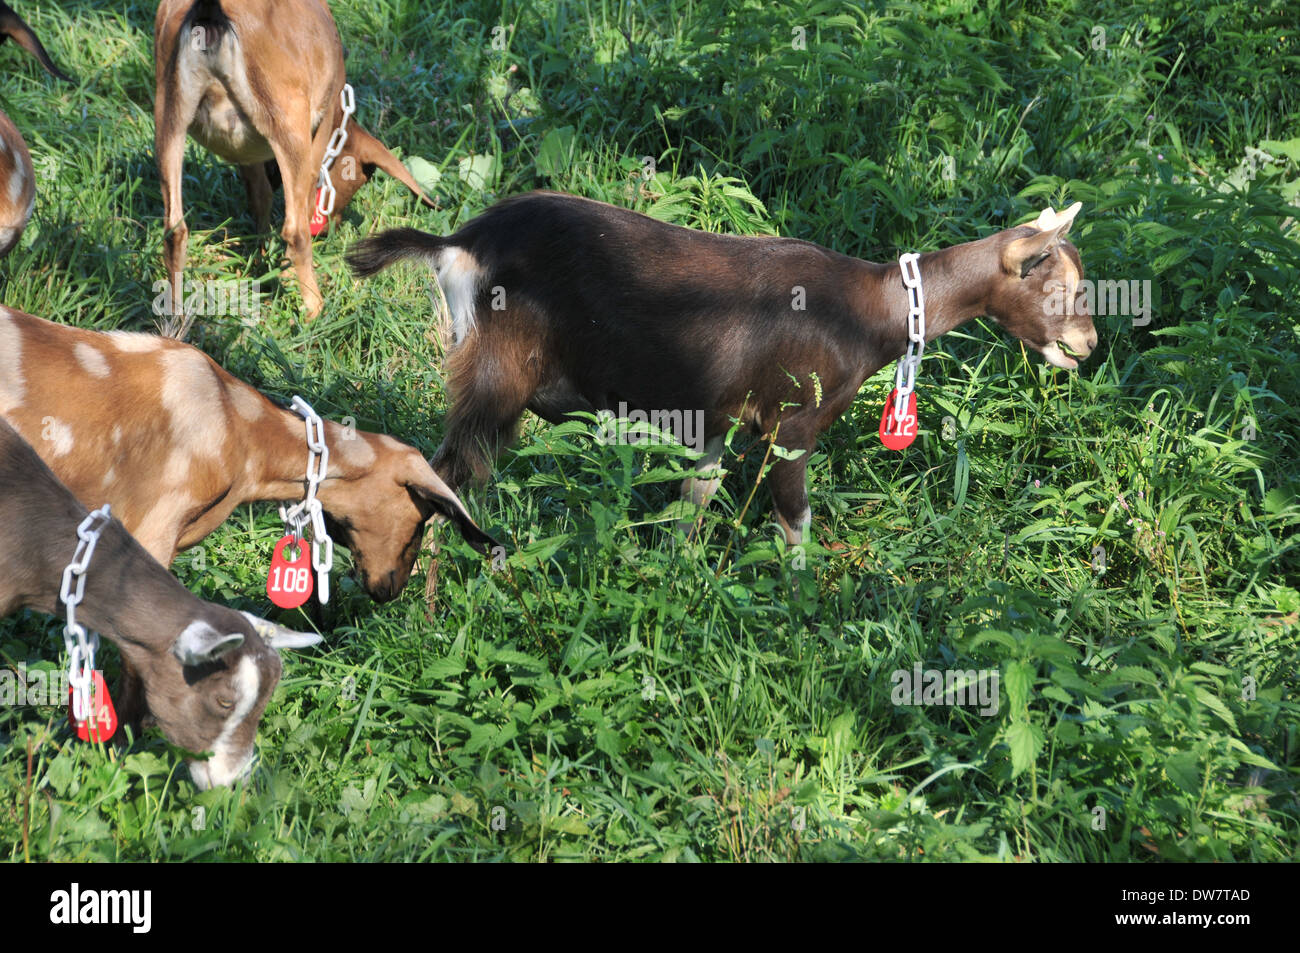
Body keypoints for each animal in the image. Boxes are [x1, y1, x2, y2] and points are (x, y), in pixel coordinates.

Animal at [154, 0, 435, 329]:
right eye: (360, 179)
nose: (331, 229)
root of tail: (210, 14)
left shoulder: (248, 153)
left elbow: (259, 197)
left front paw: (262, 257)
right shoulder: (318, 133)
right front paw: (284, 272)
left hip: (169, 119)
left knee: (175, 230)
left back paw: (175, 317)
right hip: (288, 125)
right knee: (295, 231)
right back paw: (315, 309)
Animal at [347, 191, 1097, 543]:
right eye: (1059, 288)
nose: (1088, 345)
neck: (871, 309)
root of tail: (460, 242)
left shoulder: (718, 419)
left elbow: (693, 503)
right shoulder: (794, 424)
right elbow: (795, 519)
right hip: (498, 377)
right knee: (449, 473)